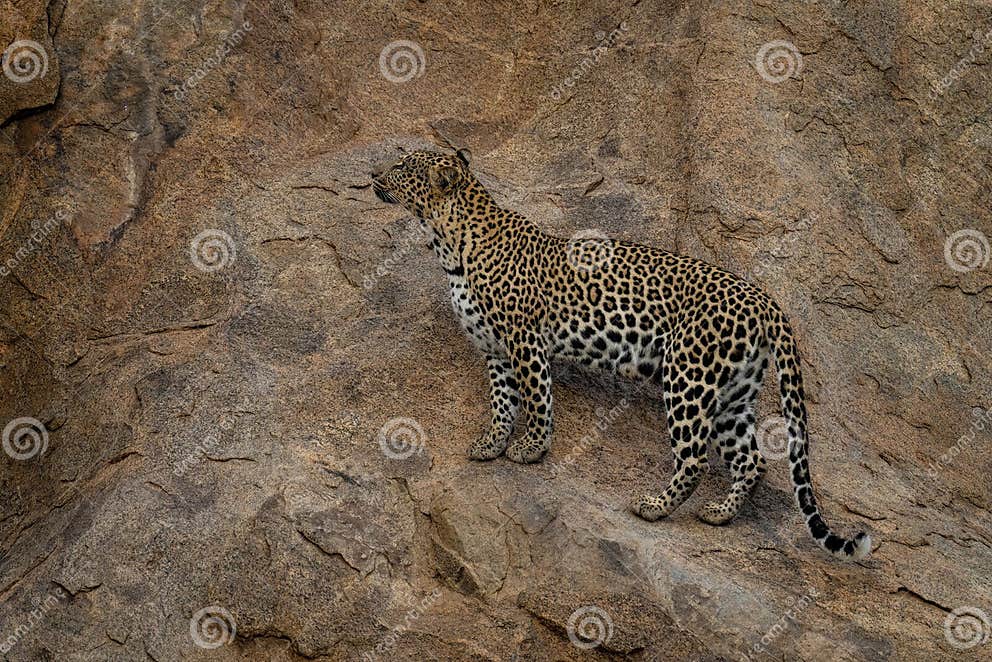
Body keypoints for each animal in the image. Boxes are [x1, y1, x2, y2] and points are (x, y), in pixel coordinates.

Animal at [370, 148, 872, 561]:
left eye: (402, 167)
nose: (373, 174)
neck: (449, 242)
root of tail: (765, 300)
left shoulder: (524, 339)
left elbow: (535, 398)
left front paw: (531, 449)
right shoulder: (494, 349)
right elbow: (502, 401)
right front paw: (492, 444)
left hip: (687, 376)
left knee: (694, 457)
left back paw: (654, 507)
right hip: (733, 391)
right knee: (752, 459)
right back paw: (720, 514)